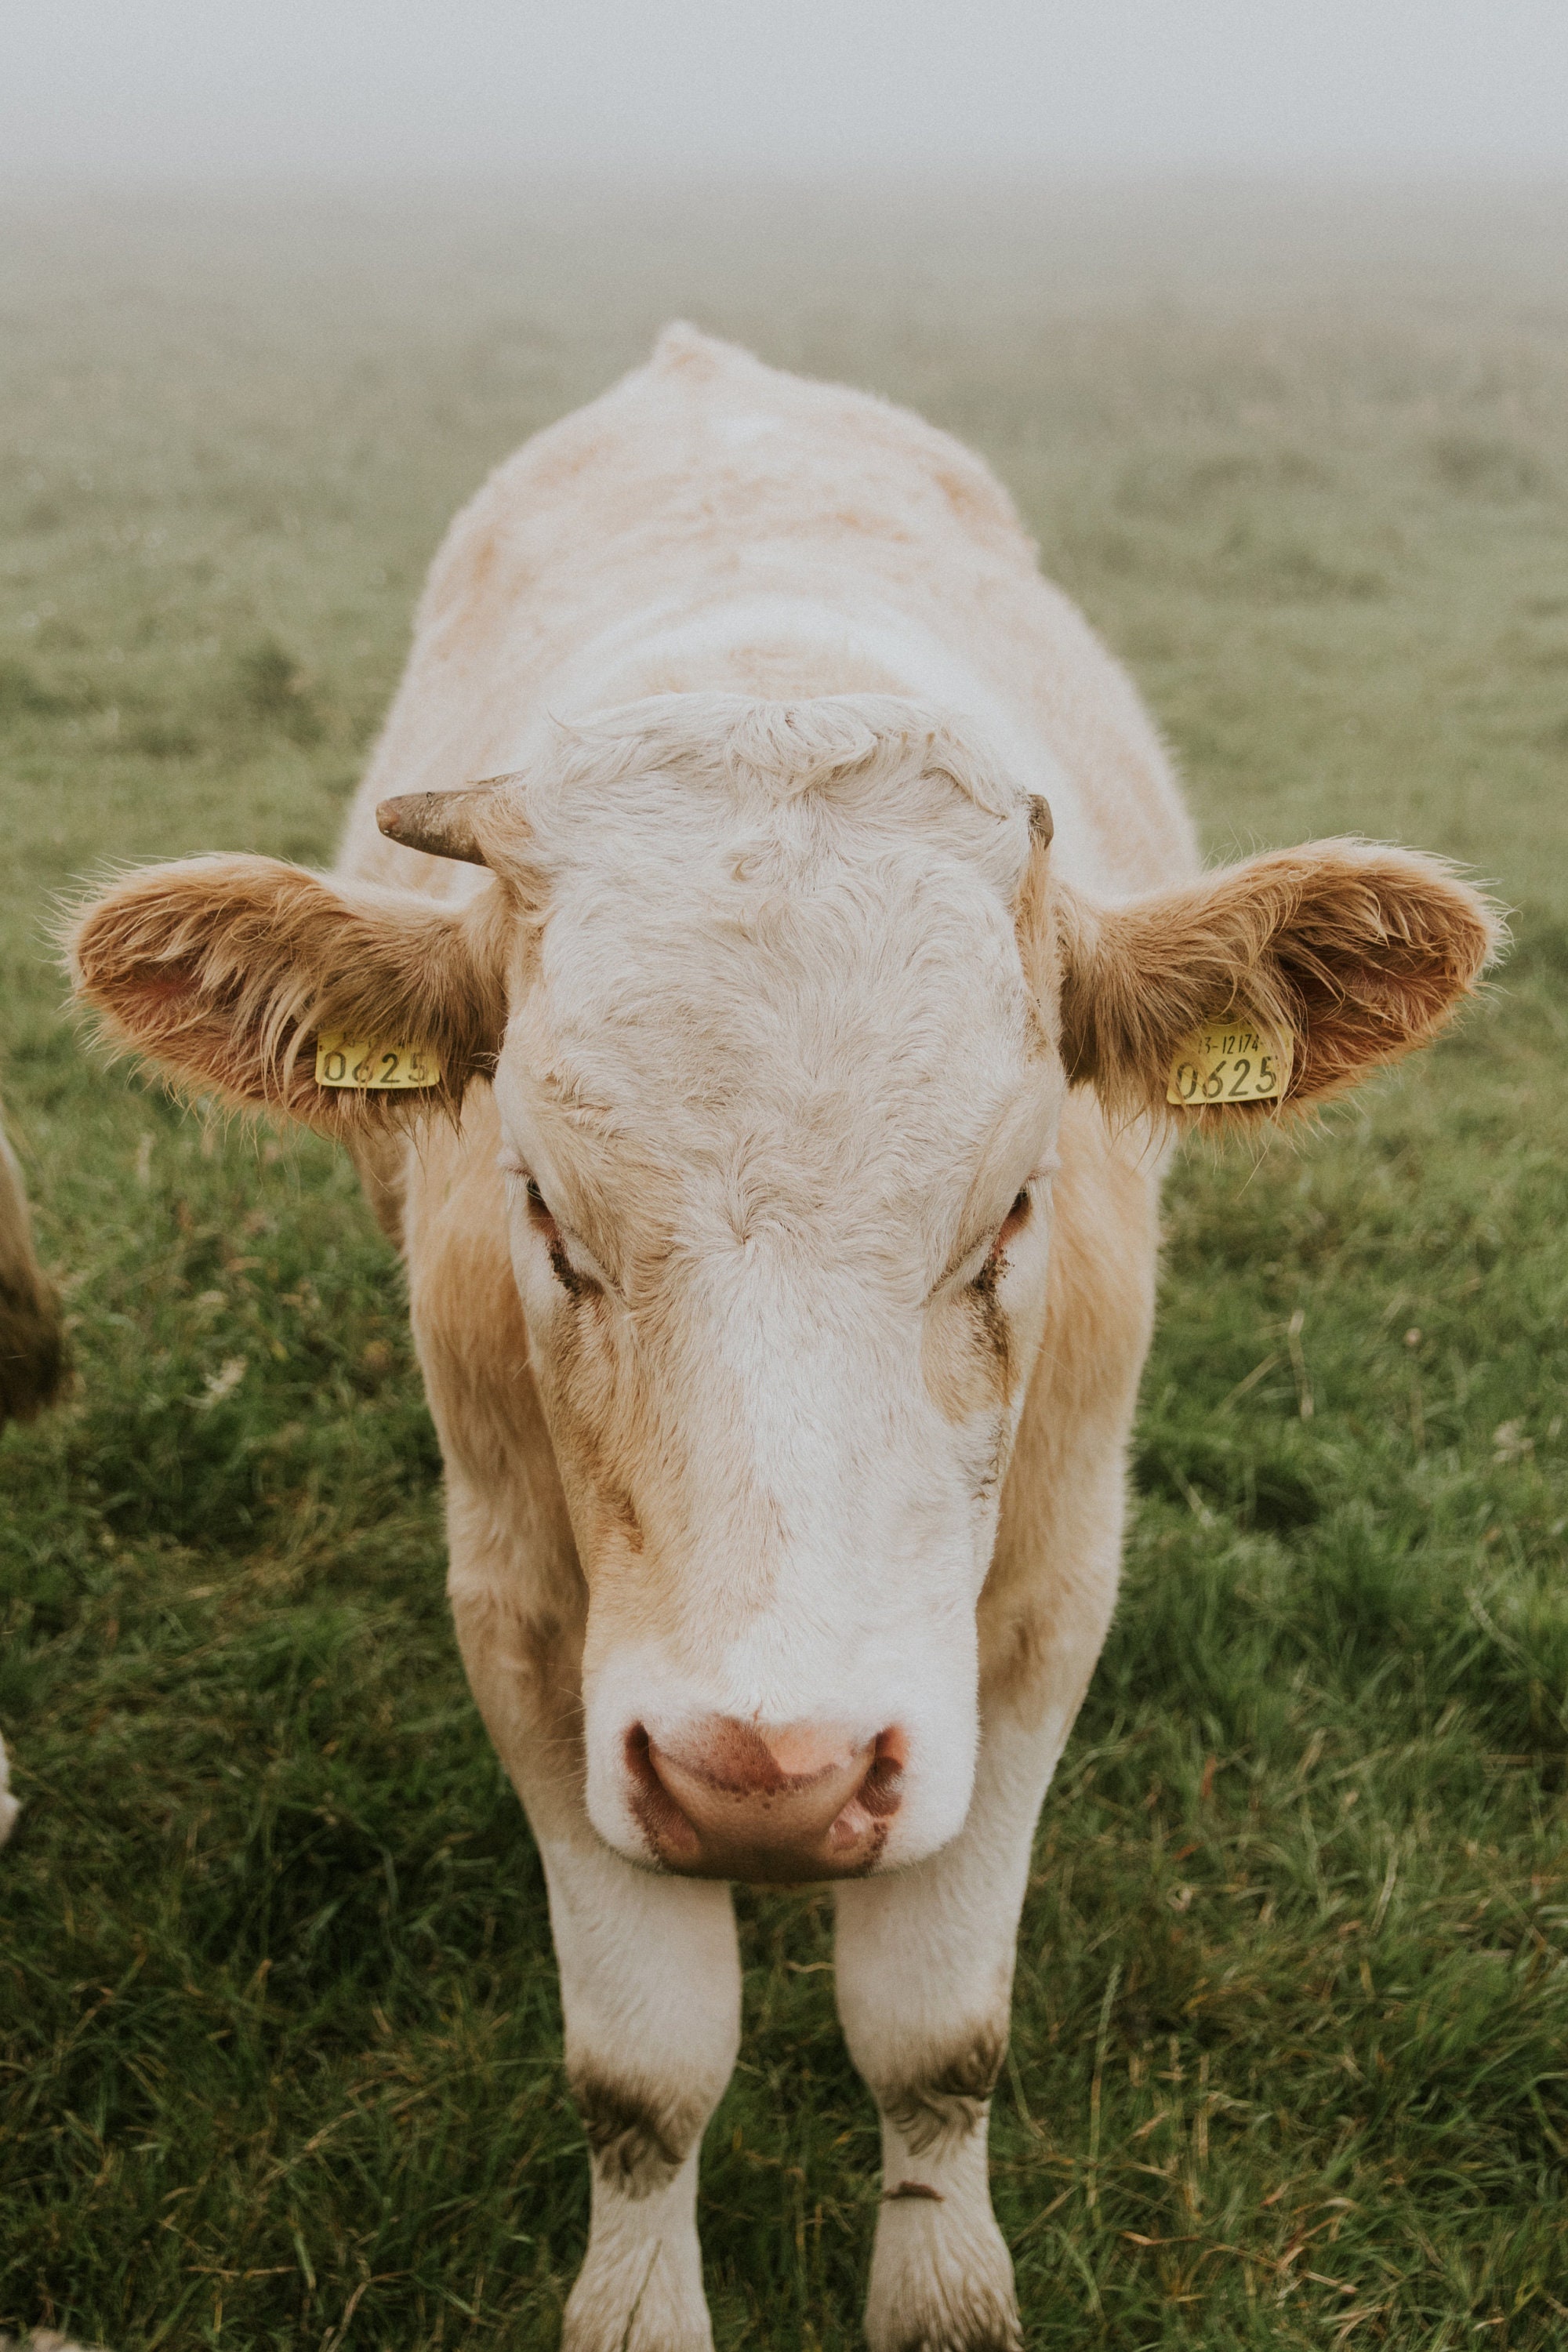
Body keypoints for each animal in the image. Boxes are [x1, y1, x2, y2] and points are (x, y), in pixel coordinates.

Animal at [70, 327, 1497, 2351]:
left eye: (1010, 1208)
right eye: (540, 1206)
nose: (773, 1771)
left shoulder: (1043, 1599)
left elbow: (935, 2035)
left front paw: (942, 2279)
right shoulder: (528, 1615)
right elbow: (645, 2068)